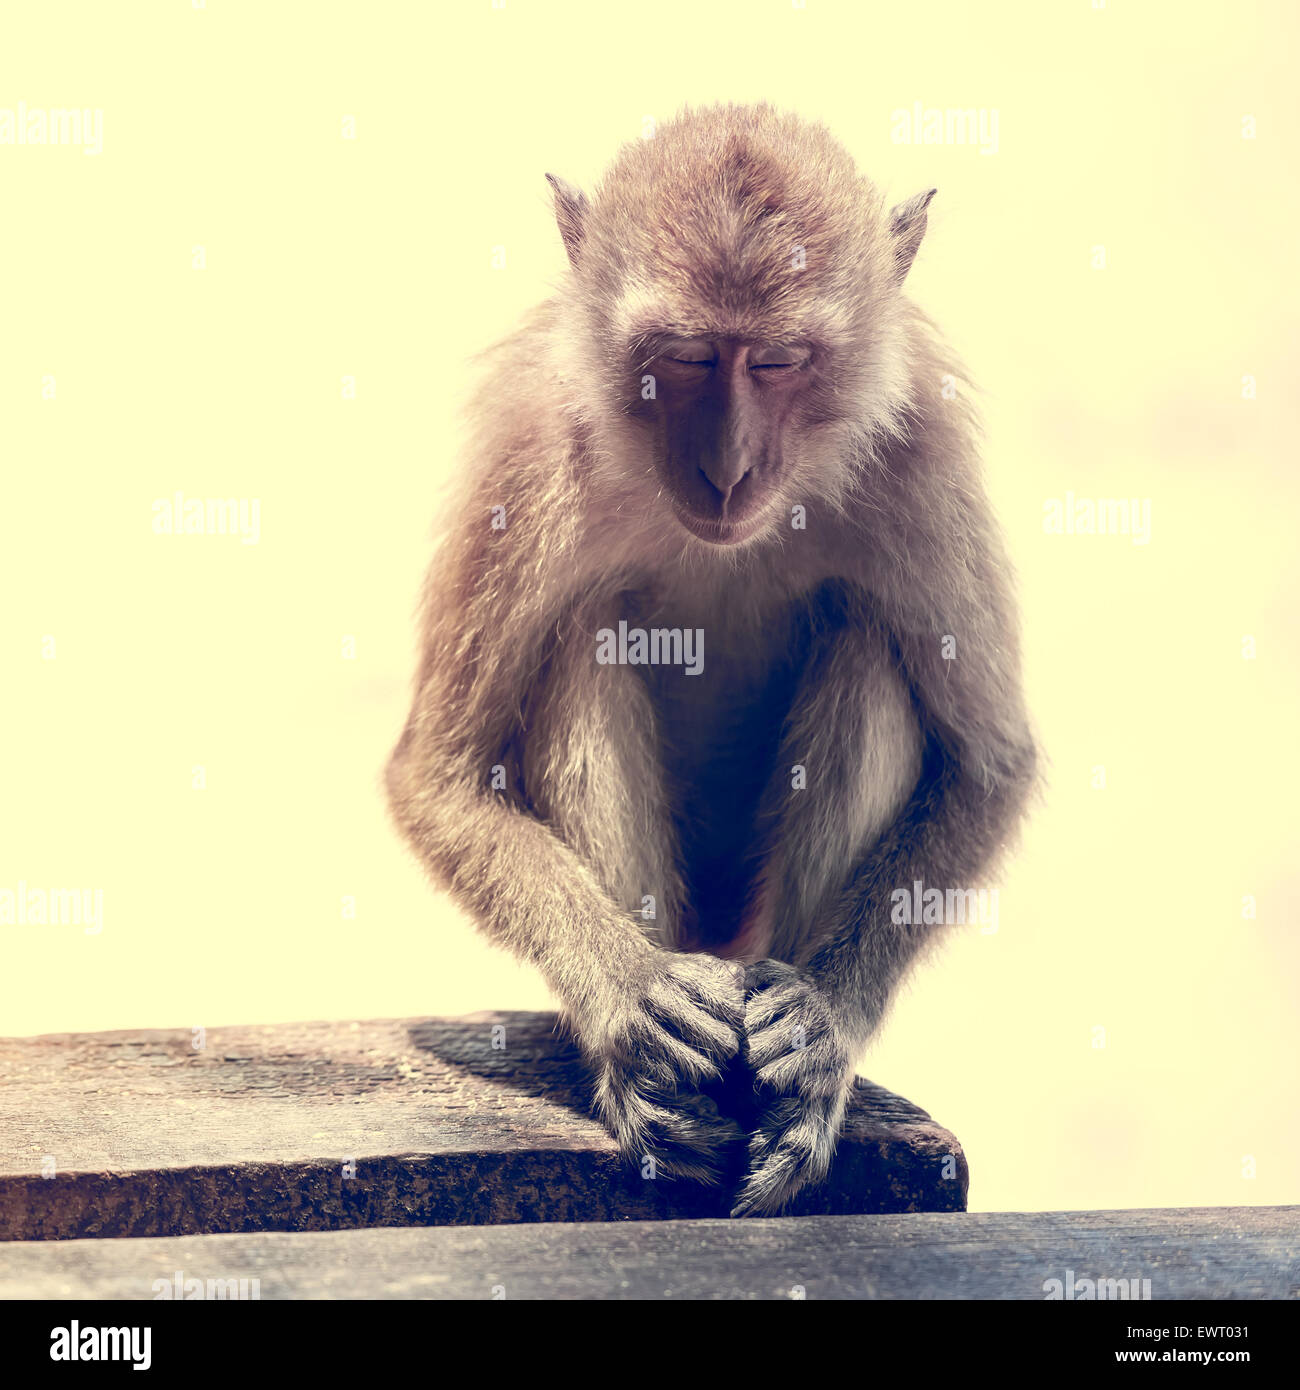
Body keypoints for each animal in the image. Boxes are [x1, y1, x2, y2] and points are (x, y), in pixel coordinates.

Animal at [386, 103, 1037, 1216]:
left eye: (776, 362)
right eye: (685, 356)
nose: (727, 468)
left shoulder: (923, 450)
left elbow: (987, 763)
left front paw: (821, 1027)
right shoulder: (530, 447)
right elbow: (440, 774)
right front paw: (628, 1000)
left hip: (751, 930)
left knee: (868, 646)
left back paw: (784, 1089)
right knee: (588, 635)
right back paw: (653, 1079)